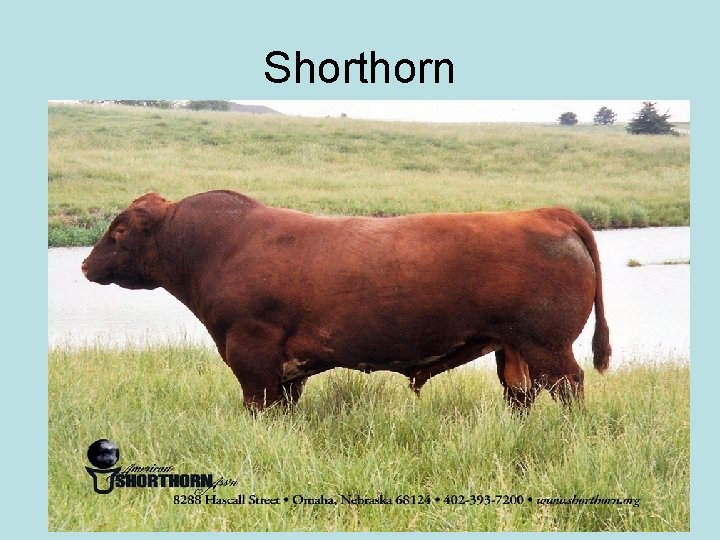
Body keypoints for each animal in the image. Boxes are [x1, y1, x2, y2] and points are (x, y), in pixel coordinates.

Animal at [82, 190, 610, 412]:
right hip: (513, 347)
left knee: (569, 386)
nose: (85, 264)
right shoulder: (284, 367)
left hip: (548, 344)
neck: (218, 245)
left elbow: (259, 405)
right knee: (522, 394)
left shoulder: (251, 350)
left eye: (120, 230)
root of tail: (544, 212)